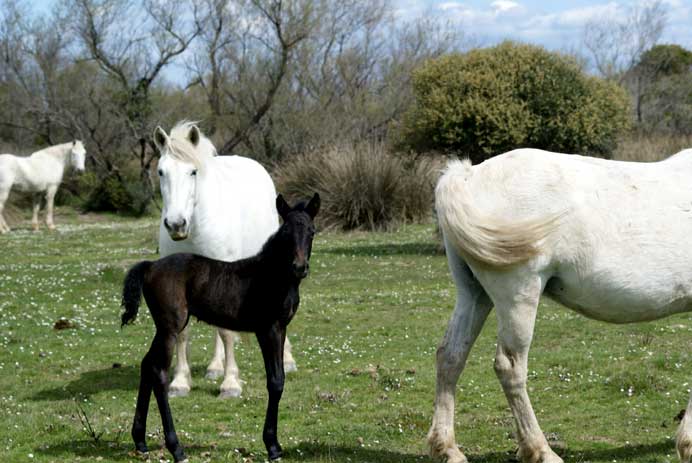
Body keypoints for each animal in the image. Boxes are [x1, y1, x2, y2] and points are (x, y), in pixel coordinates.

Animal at [121, 193, 320, 463]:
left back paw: (140, 440)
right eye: (286, 231)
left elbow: (280, 379)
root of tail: (151, 266)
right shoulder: (267, 329)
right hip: (170, 327)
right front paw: (272, 445)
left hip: (162, 328)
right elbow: (275, 381)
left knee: (146, 364)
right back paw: (176, 448)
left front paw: (275, 444)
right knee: (159, 372)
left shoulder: (281, 328)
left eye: (312, 231)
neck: (270, 275)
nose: (300, 267)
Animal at [153, 122, 297, 399]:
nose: (176, 224)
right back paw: (215, 366)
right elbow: (183, 333)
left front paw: (230, 383)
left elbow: (227, 333)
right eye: (161, 172)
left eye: (193, 172)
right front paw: (180, 382)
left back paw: (286, 360)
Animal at [429, 147, 692, 463]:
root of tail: (468, 175)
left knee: (451, 356)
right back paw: (541, 450)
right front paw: (688, 443)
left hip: (474, 296)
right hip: (518, 296)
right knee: (509, 367)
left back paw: (448, 448)